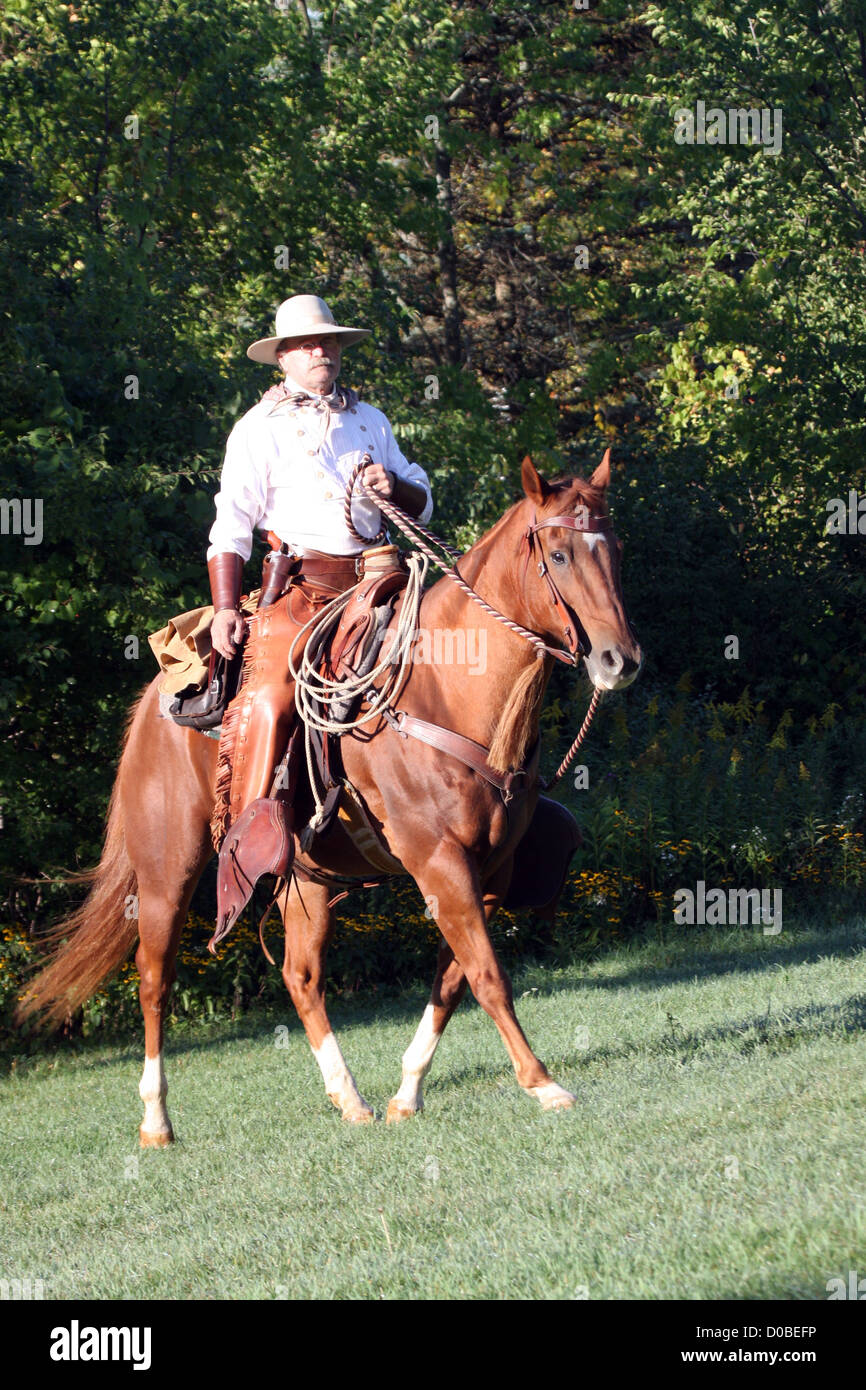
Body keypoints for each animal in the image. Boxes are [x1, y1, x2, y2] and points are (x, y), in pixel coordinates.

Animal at [16, 453, 641, 1142]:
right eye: (558, 554)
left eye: (615, 550)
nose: (620, 660)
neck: (446, 692)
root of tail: (157, 700)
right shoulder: (440, 863)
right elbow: (487, 975)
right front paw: (543, 1084)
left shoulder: (490, 871)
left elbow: (452, 979)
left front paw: (406, 1094)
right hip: (166, 871)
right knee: (155, 979)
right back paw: (157, 1120)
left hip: (306, 878)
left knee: (301, 975)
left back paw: (349, 1098)